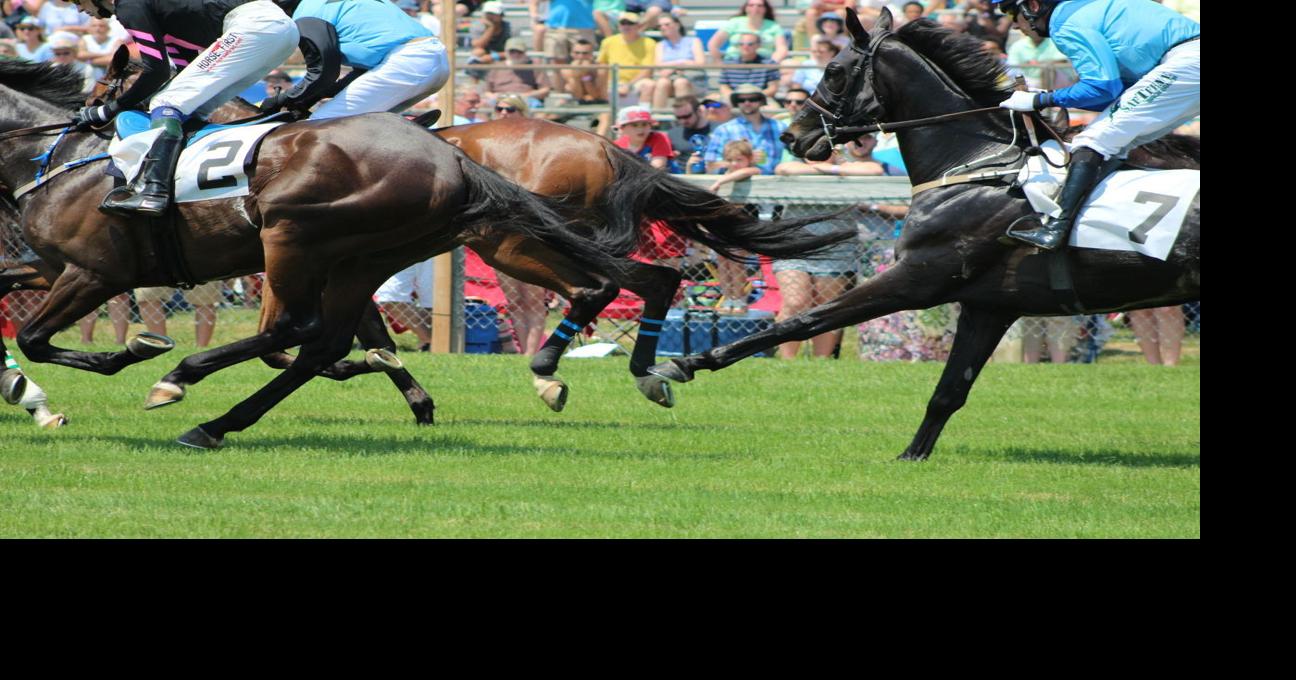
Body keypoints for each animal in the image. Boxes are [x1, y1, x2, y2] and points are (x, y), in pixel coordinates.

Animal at [0, 59, 642, 448]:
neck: (59, 159)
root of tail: (453, 158)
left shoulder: (95, 271)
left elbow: (33, 338)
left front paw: (134, 350)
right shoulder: (52, 268)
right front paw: (31, 397)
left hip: (293, 234)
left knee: (298, 330)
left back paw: (184, 381)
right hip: (369, 256)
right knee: (319, 342)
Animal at [648, 8, 1200, 461]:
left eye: (833, 70)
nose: (792, 134)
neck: (974, 167)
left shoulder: (916, 279)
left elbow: (802, 322)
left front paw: (679, 366)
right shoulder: (988, 305)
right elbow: (949, 390)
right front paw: (912, 456)